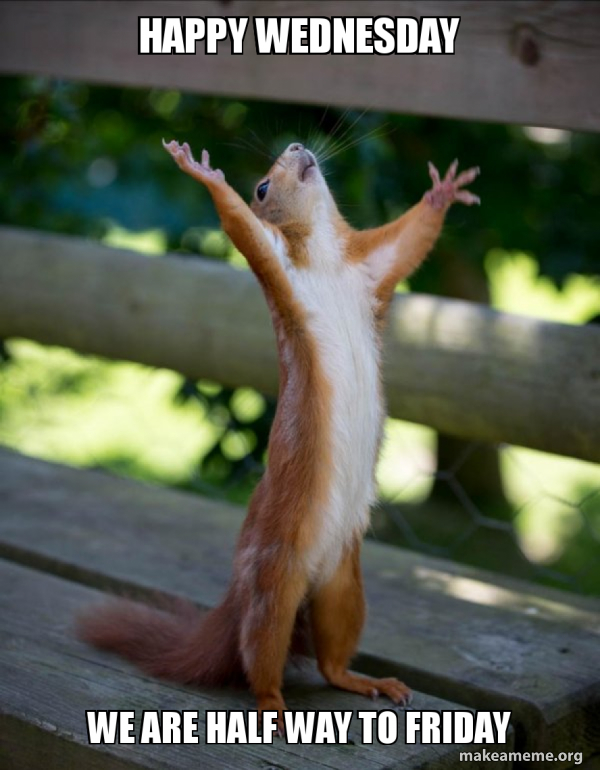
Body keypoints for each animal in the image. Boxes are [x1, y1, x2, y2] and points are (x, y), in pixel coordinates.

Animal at [78, 138, 479, 731]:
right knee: (259, 656)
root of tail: (239, 595)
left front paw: (443, 192)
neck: (326, 257)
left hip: (344, 587)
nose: (296, 146)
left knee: (331, 659)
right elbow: (240, 226)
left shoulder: (371, 267)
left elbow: (409, 240)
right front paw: (204, 174)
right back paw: (272, 705)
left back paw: (367, 680)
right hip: (274, 584)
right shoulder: (277, 265)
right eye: (262, 187)